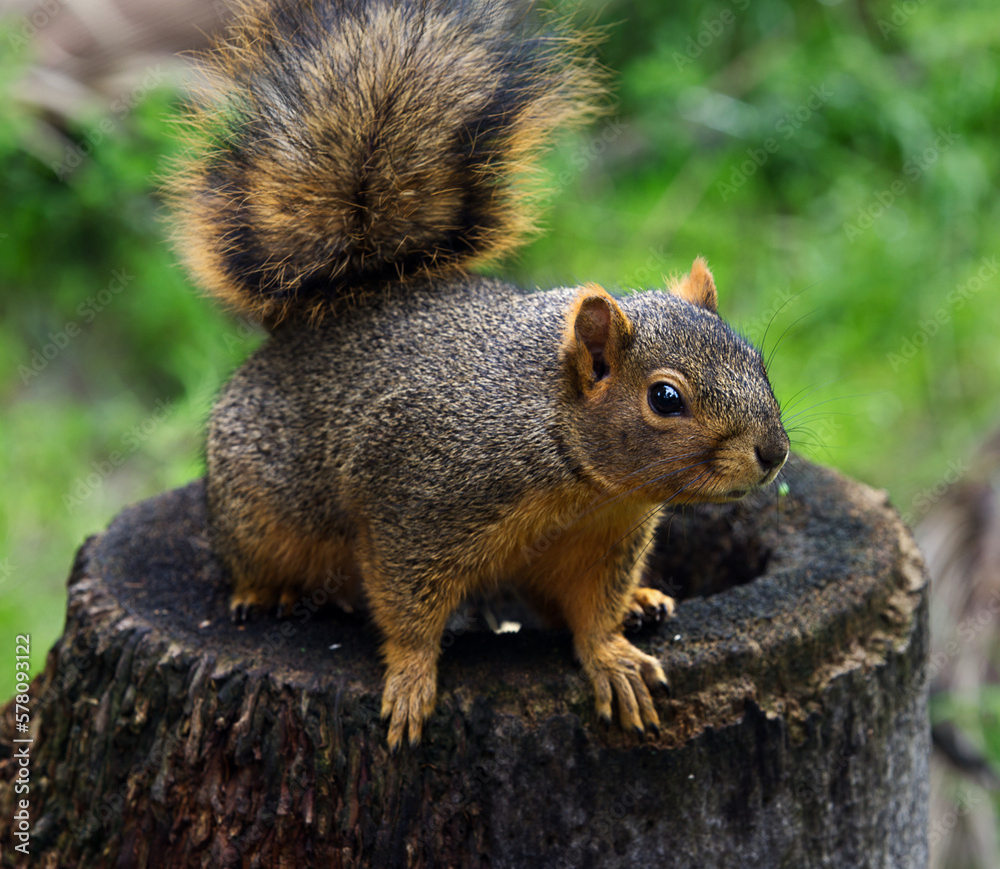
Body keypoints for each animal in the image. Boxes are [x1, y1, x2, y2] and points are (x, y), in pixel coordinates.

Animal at [171, 0, 790, 750]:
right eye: (666, 398)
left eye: (756, 359)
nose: (774, 452)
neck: (566, 462)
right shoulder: (412, 503)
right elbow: (407, 606)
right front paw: (411, 680)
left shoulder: (599, 538)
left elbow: (593, 610)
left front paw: (612, 654)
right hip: (256, 508)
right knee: (255, 558)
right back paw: (270, 590)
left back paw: (643, 601)